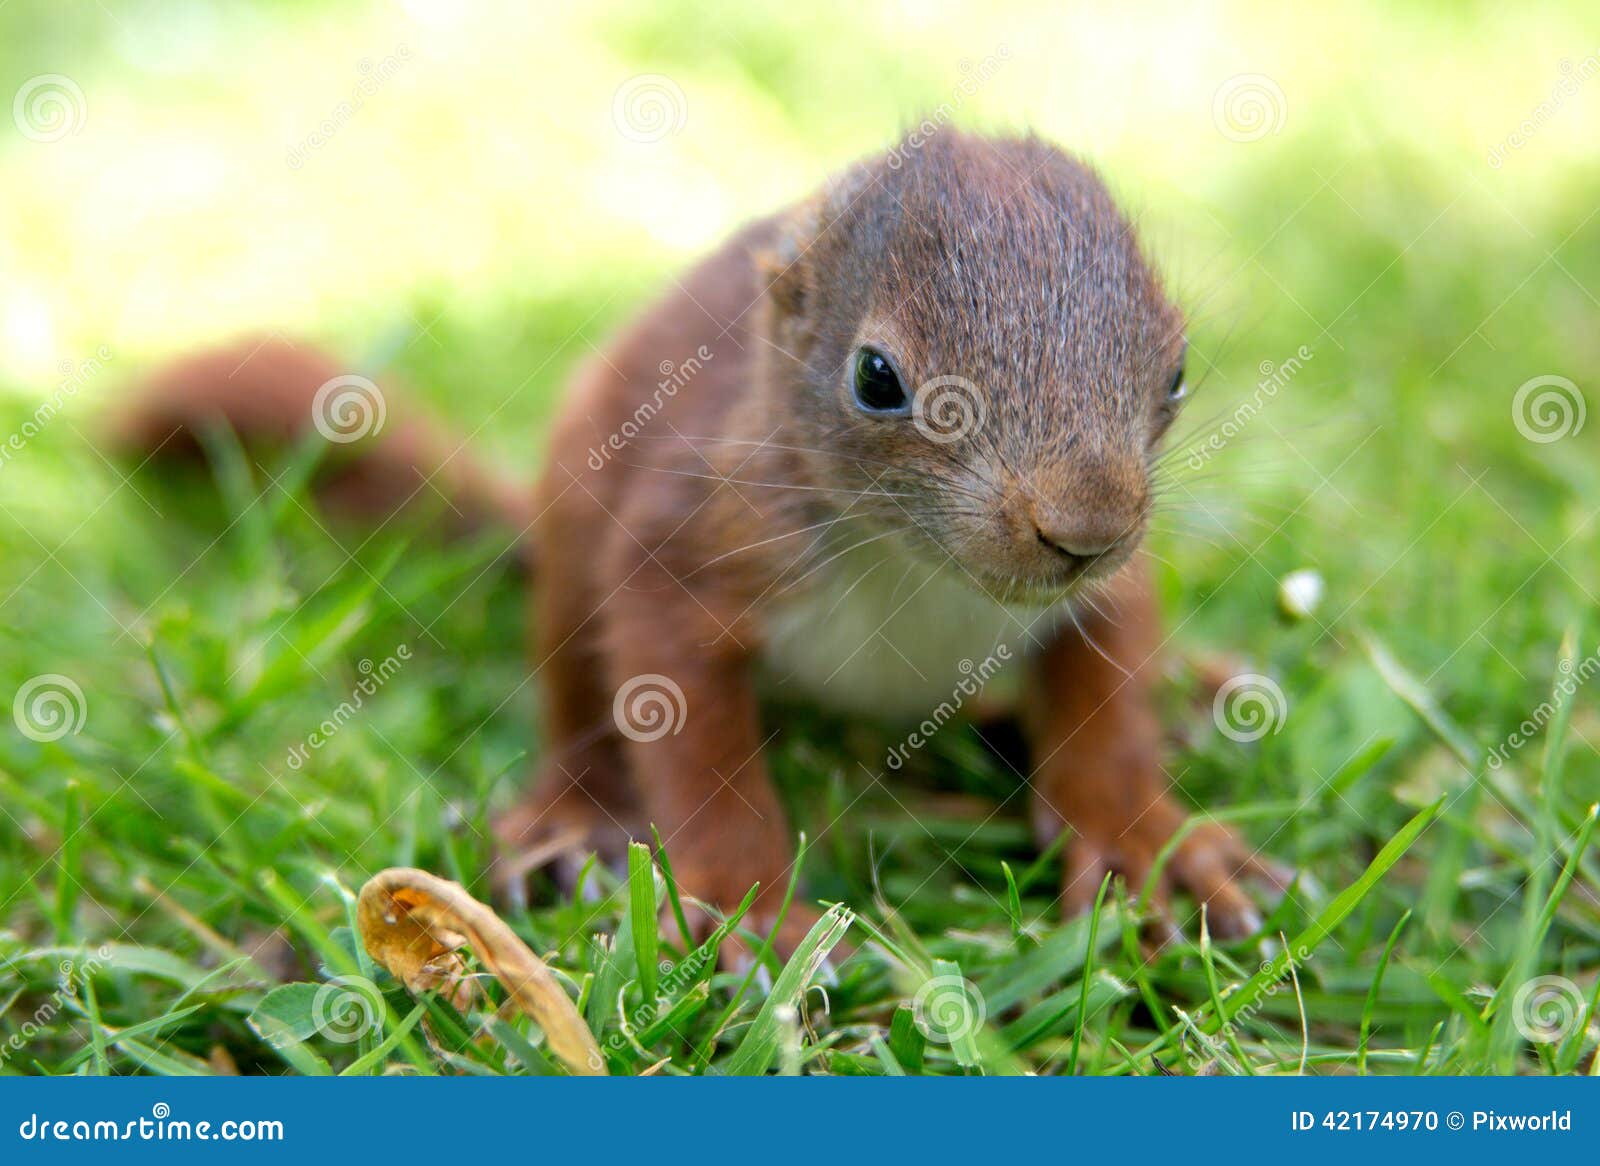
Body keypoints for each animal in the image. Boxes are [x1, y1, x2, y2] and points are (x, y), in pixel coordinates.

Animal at [112, 131, 1286, 952]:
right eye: (876, 379)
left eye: (1178, 371)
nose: (1084, 527)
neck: (916, 568)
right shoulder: (694, 539)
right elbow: (691, 734)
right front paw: (748, 910)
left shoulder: (1108, 590)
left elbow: (1107, 699)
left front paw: (1149, 843)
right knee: (576, 688)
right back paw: (572, 809)